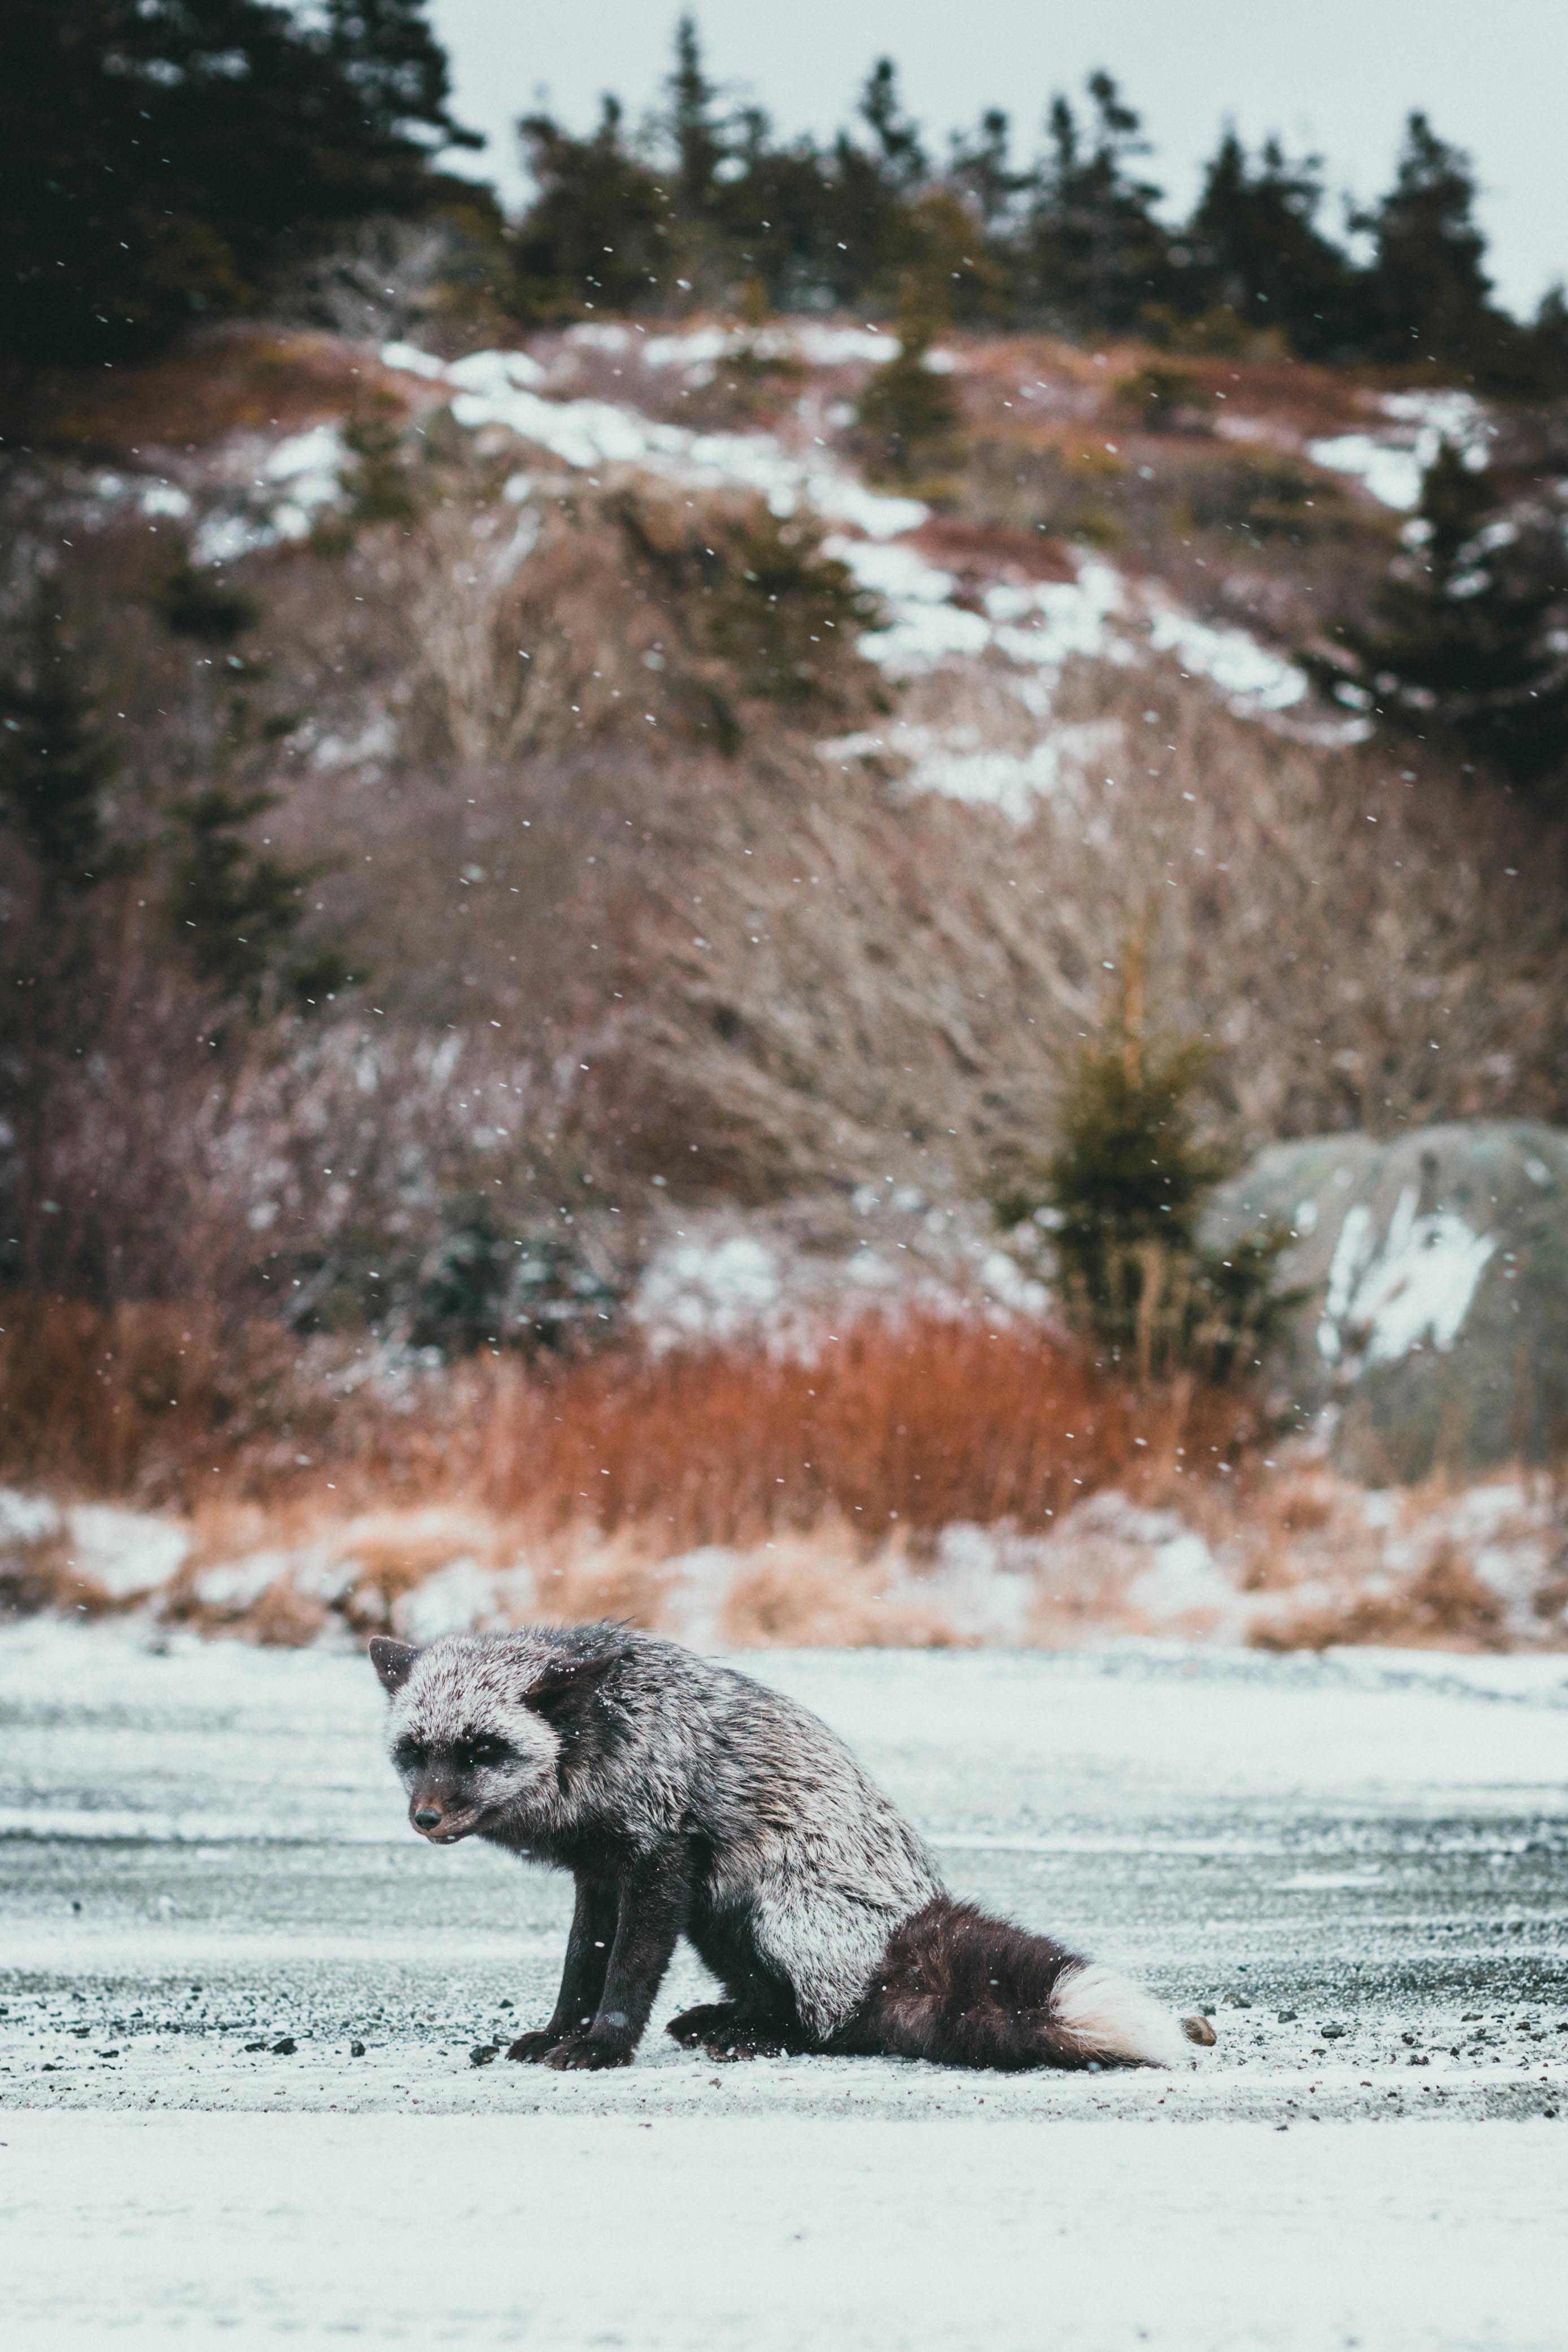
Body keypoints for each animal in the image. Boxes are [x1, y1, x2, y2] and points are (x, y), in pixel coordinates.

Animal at [368, 1623, 1215, 2073]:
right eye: (415, 1751)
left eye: (482, 1750)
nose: (426, 1817)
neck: (603, 1745)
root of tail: (903, 1936)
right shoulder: (600, 1877)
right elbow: (581, 1968)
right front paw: (557, 2033)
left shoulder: (657, 1863)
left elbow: (625, 1976)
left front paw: (603, 2045)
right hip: (716, 1922)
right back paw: (722, 2021)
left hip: (765, 1913)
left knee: (832, 2027)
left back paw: (757, 2037)